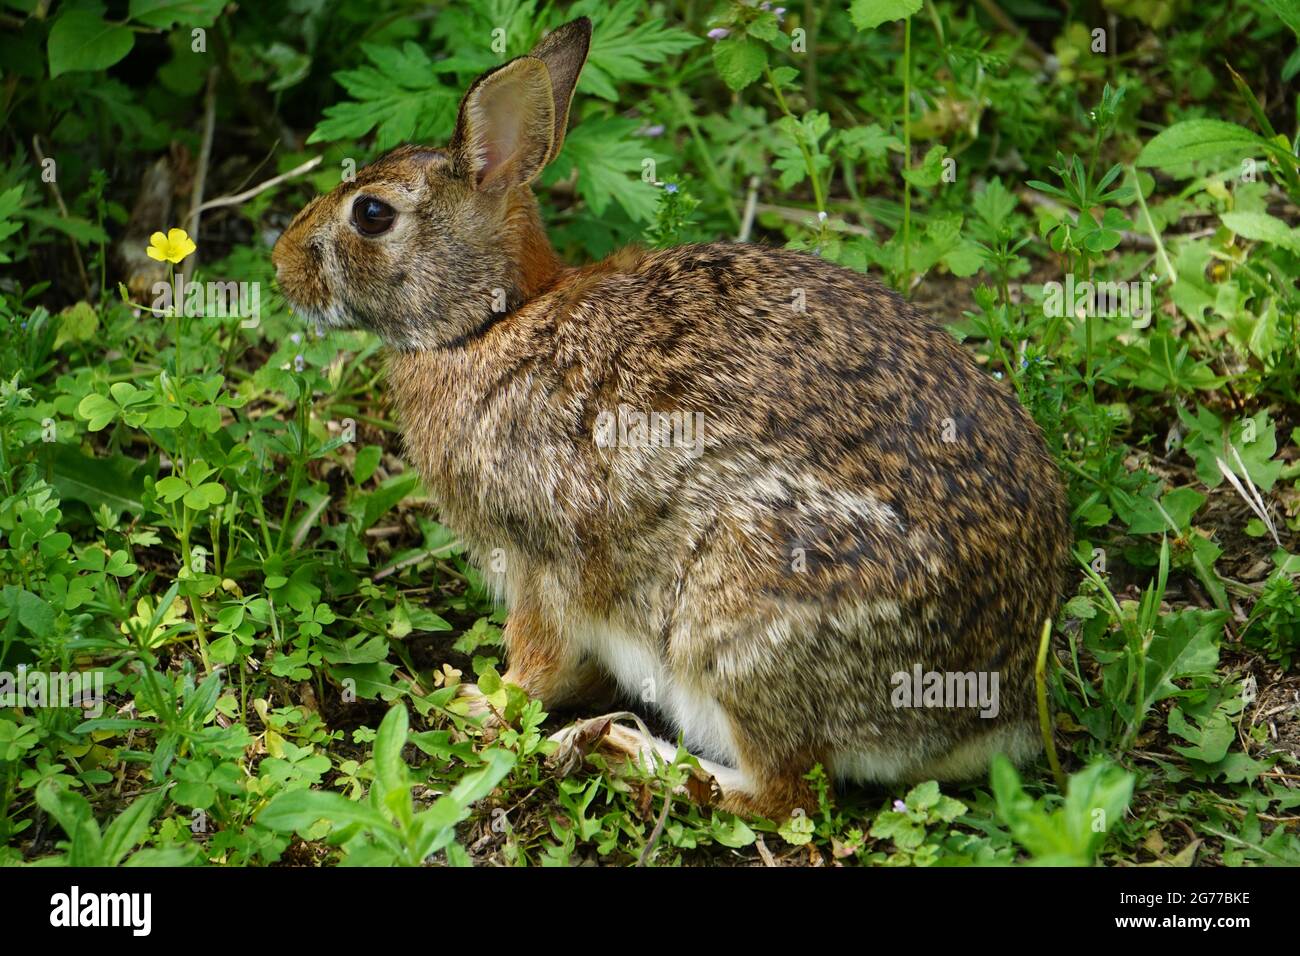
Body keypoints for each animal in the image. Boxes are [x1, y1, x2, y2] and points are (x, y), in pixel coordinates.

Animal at [272, 16, 1072, 818]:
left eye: (371, 214)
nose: (279, 265)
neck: (491, 323)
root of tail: (987, 709)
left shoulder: (540, 562)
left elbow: (534, 663)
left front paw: (475, 704)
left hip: (737, 626)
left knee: (780, 795)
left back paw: (621, 751)